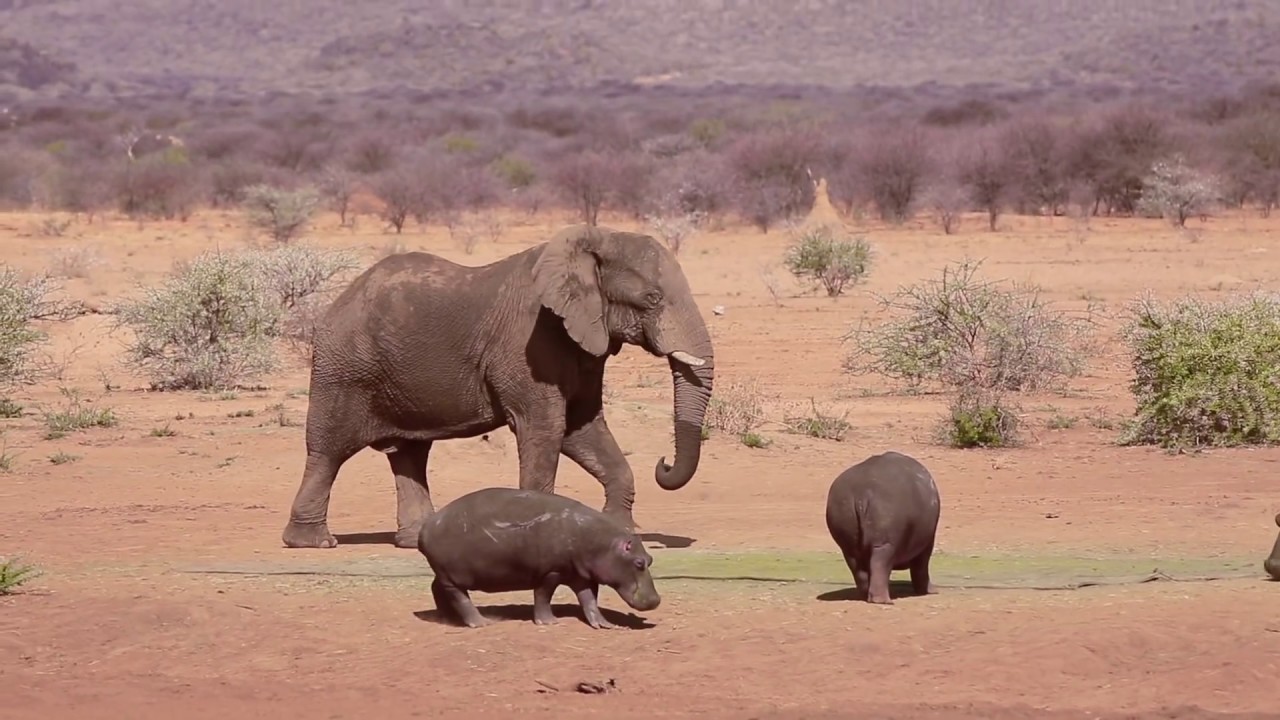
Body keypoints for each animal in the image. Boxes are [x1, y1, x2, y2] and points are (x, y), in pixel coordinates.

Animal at [281, 224, 716, 549]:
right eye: (652, 298)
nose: (663, 463)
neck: (587, 246)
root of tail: (337, 302)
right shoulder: (529, 343)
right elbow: (545, 429)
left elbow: (582, 428)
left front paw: (621, 532)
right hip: (344, 369)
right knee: (328, 451)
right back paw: (313, 542)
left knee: (409, 454)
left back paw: (414, 541)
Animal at [417, 487, 661, 629]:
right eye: (639, 562)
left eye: (650, 559)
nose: (656, 600)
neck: (603, 543)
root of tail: (425, 528)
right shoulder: (552, 571)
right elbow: (544, 595)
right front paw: (549, 622)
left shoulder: (580, 574)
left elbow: (589, 599)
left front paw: (604, 625)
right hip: (453, 576)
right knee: (459, 596)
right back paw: (482, 623)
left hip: (444, 573)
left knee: (436, 588)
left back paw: (447, 619)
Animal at [825, 450, 941, 604]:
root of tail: (862, 492)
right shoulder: (927, 542)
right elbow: (921, 566)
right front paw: (931, 591)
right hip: (885, 541)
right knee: (880, 563)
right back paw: (885, 601)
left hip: (847, 538)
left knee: (859, 569)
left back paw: (866, 597)